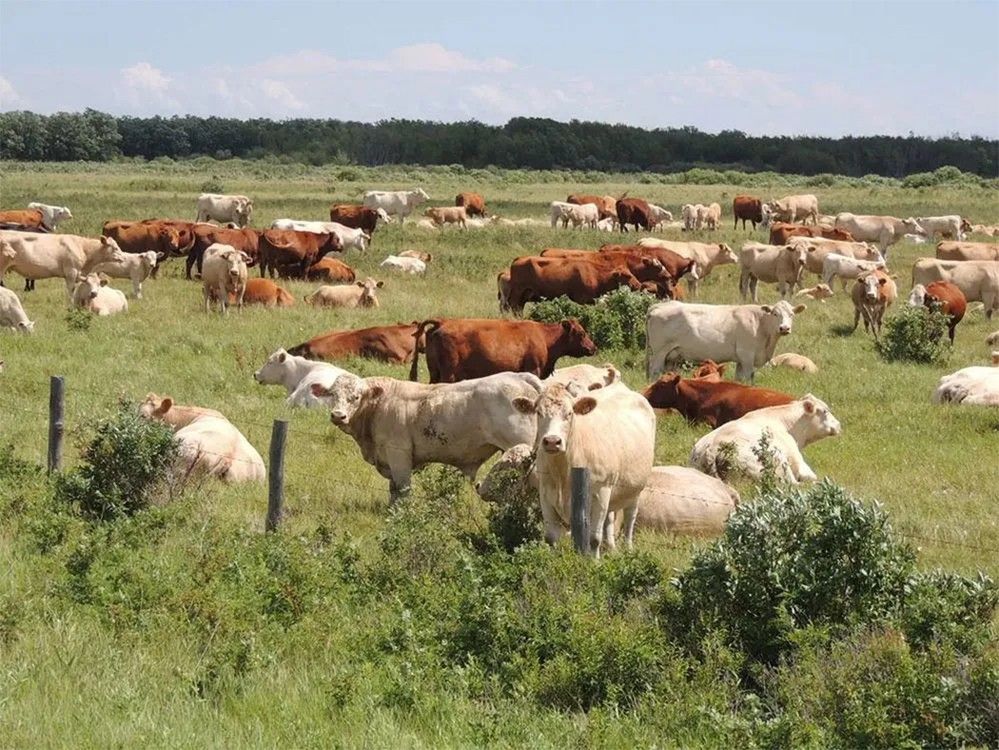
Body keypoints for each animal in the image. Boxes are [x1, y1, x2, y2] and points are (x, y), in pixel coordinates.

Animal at [310, 371, 544, 503]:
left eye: (356, 397)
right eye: (332, 395)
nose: (338, 415)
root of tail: (517, 376)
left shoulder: (398, 455)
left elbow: (403, 491)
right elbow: (393, 492)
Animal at [409, 317, 597, 383]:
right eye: (581, 332)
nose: (593, 348)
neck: (544, 336)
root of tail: (442, 323)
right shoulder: (533, 370)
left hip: (435, 373)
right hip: (449, 375)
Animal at [506, 255, 644, 315]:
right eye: (628, 276)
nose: (638, 285)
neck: (595, 273)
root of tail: (519, 259)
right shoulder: (584, 299)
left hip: (525, 294)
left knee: (518, 307)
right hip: (518, 292)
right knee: (514, 305)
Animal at [512, 381, 655, 556]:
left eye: (569, 413)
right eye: (538, 412)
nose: (552, 441)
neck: (563, 471)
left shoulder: (600, 493)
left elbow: (594, 538)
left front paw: (593, 561)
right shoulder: (545, 494)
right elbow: (551, 538)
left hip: (635, 490)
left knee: (630, 518)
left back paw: (628, 548)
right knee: (610, 518)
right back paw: (611, 548)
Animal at [646, 299, 806, 382]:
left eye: (791, 314)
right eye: (774, 314)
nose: (784, 328)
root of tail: (658, 305)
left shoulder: (741, 359)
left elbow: (740, 379)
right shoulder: (747, 355)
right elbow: (748, 378)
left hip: (671, 356)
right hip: (659, 352)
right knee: (655, 371)